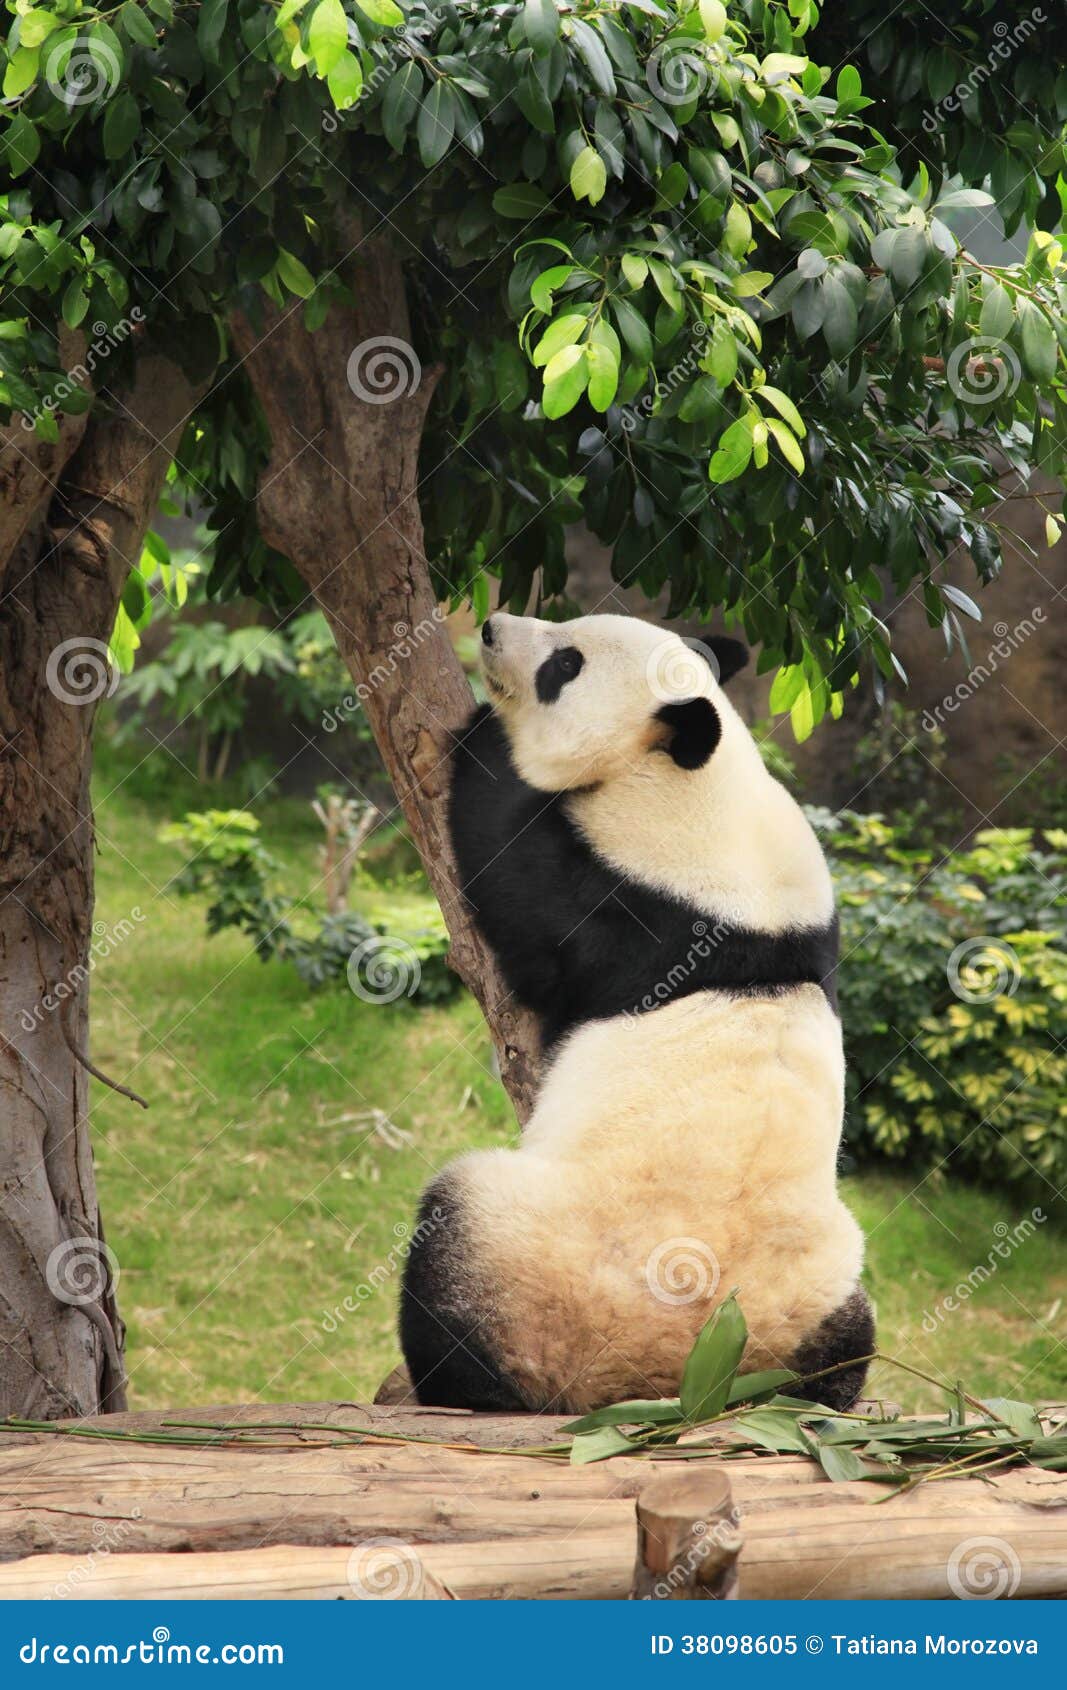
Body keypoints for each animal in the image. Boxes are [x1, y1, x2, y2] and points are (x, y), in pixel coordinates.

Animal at [399, 611, 873, 1416]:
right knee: (848, 1346)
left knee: (455, 1240)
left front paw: (485, 734)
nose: (491, 628)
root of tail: (668, 1374)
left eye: (564, 664)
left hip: (528, 1248)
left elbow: (513, 874)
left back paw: (464, 1384)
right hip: (819, 1293)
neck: (695, 780)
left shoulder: (631, 898)